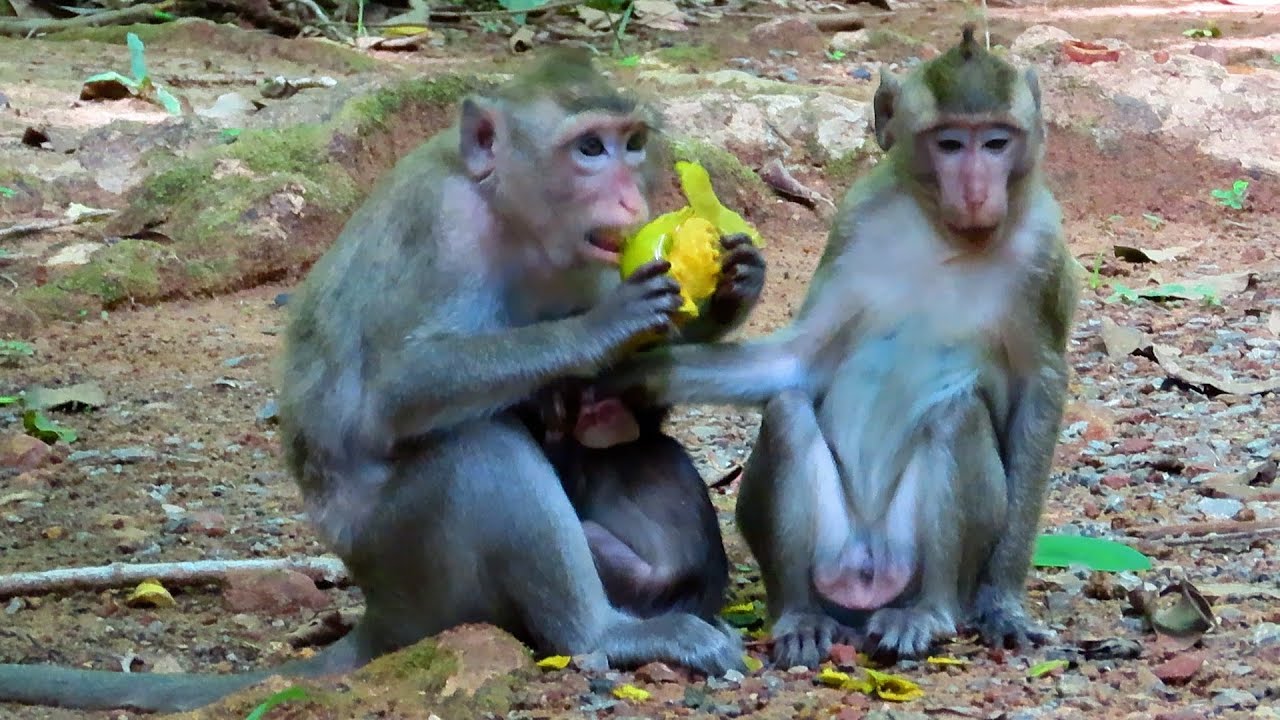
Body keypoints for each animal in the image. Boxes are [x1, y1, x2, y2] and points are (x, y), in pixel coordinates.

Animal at [0, 49, 750, 713]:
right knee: (479, 450)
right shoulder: (441, 228)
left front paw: (733, 291)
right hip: (406, 549)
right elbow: (399, 385)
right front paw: (600, 327)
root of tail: (381, 603)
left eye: (631, 144)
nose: (628, 194)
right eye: (589, 148)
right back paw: (603, 631)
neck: (508, 216)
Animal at [598, 25, 1078, 668]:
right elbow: (798, 363)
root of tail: (866, 576)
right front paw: (630, 376)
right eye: (951, 144)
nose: (978, 193)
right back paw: (801, 616)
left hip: (908, 559)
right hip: (836, 553)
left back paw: (927, 612)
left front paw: (1002, 601)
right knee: (787, 412)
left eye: (997, 142)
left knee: (956, 418)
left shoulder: (1043, 253)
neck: (944, 235)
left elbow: (1037, 393)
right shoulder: (853, 221)